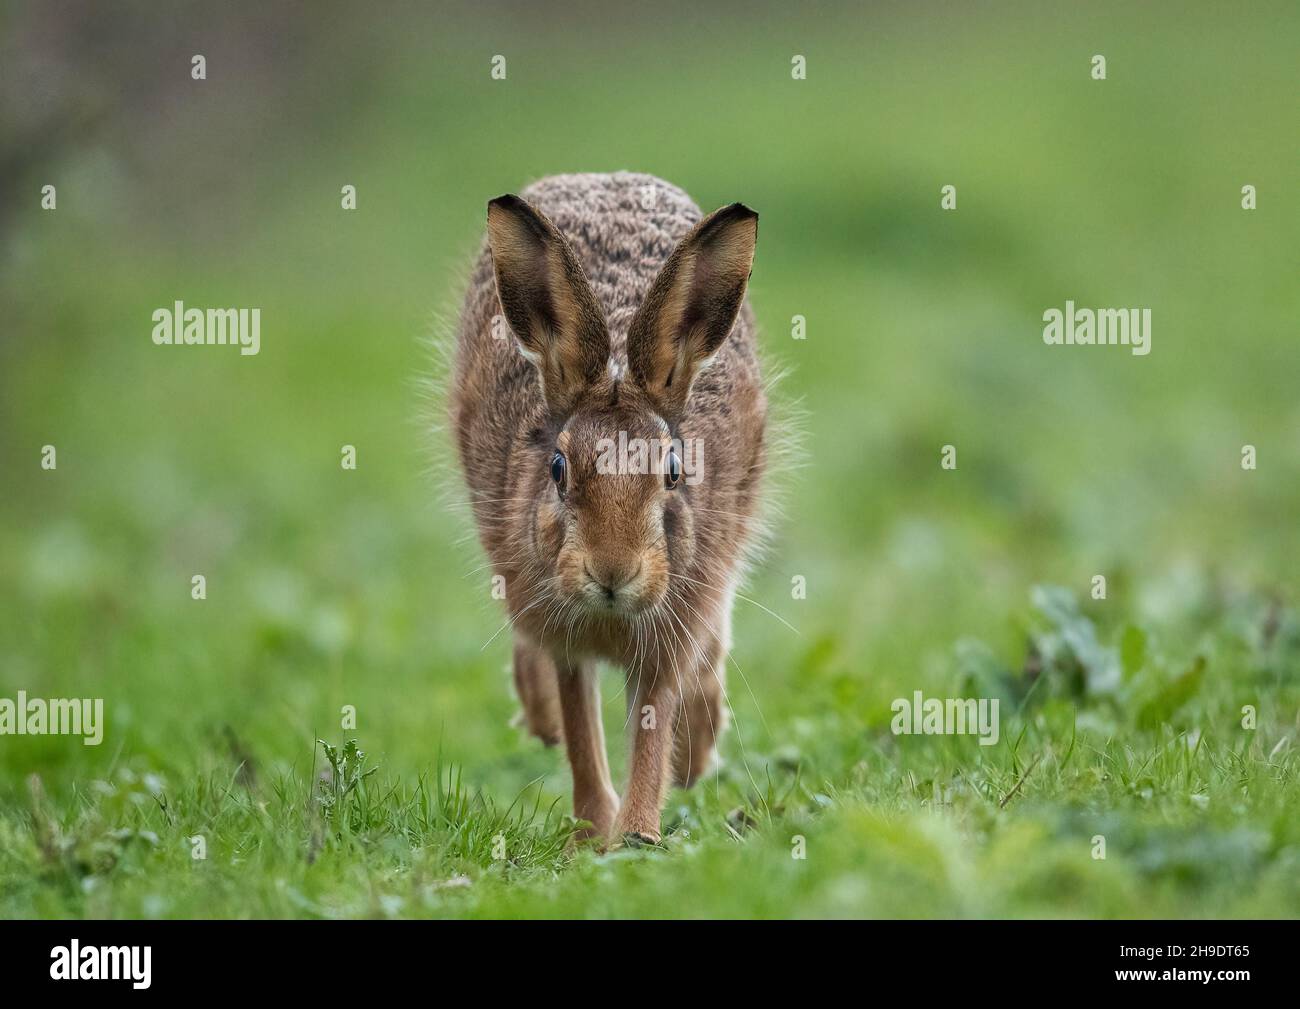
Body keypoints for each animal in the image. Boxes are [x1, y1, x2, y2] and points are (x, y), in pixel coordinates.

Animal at [450, 172, 767, 846]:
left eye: (673, 470)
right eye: (558, 469)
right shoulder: (559, 626)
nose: (612, 572)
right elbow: (579, 725)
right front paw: (596, 828)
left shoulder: (673, 621)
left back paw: (697, 752)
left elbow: (653, 718)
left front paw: (639, 833)